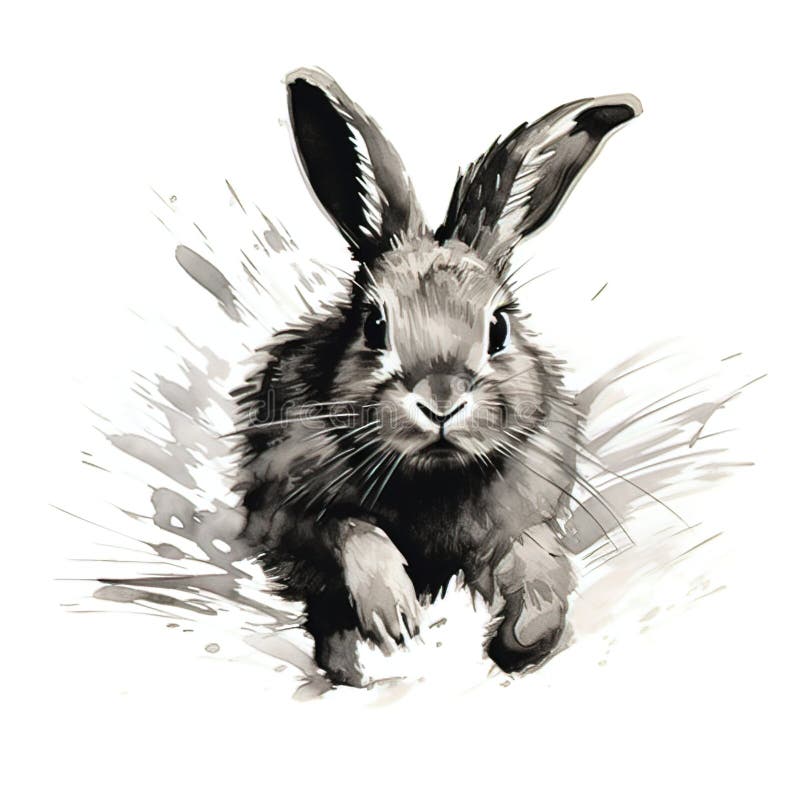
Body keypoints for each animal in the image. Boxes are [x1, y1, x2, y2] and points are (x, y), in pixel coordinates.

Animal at [234, 67, 641, 686]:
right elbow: (351, 530)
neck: (434, 476)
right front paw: (394, 617)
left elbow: (540, 561)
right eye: (374, 324)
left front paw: (522, 640)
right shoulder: (286, 512)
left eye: (499, 327)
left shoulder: (521, 519)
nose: (441, 401)